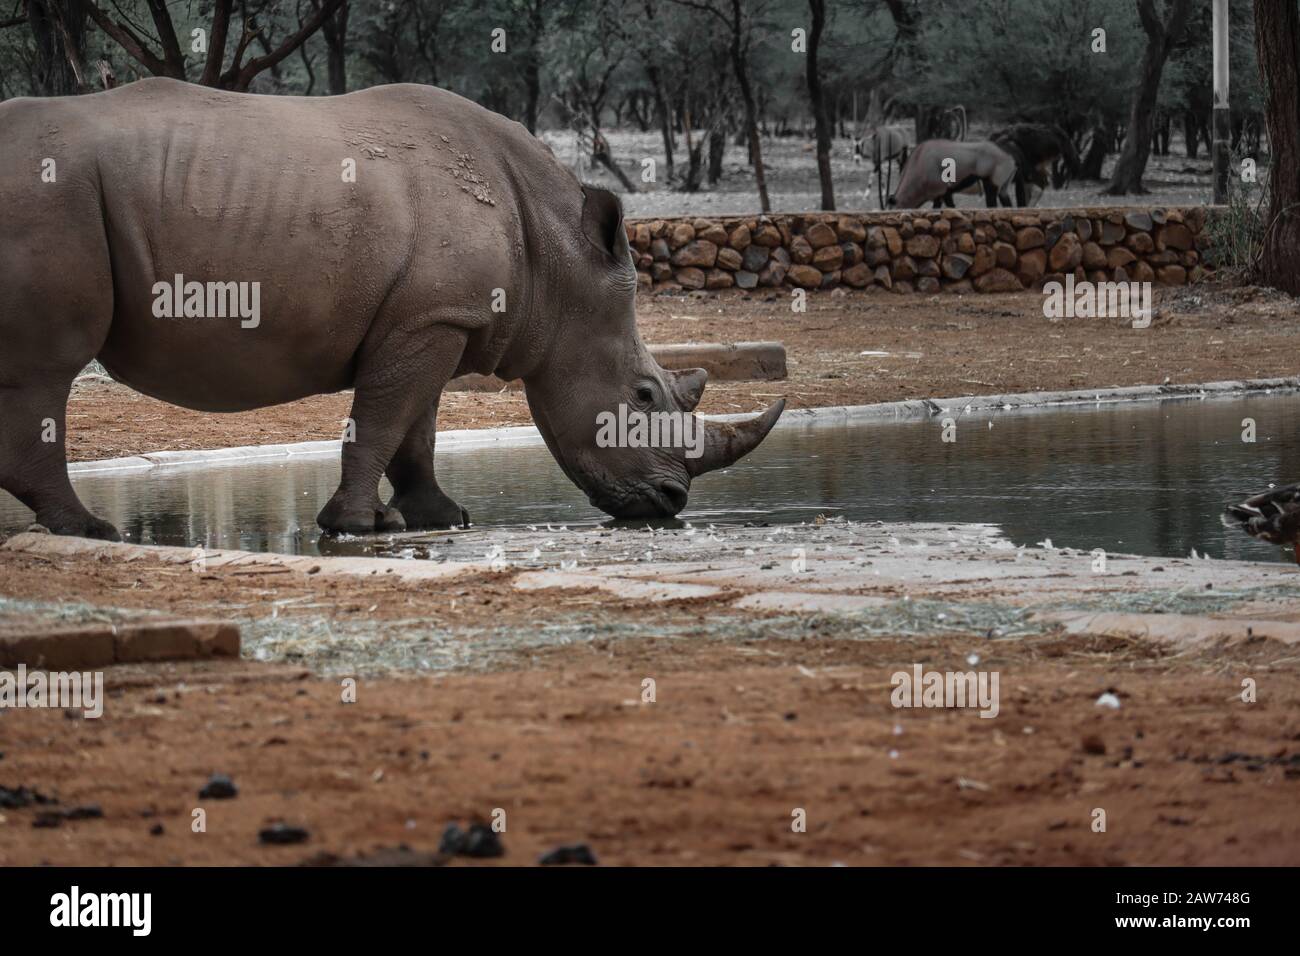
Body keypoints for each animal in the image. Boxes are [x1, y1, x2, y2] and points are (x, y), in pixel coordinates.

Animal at [0, 78, 783, 540]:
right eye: (645, 396)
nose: (672, 502)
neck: (558, 264)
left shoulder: (438, 316)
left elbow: (418, 426)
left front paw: (442, 518)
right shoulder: (431, 319)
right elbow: (382, 420)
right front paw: (359, 526)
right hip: (51, 197)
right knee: (46, 370)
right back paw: (87, 531)